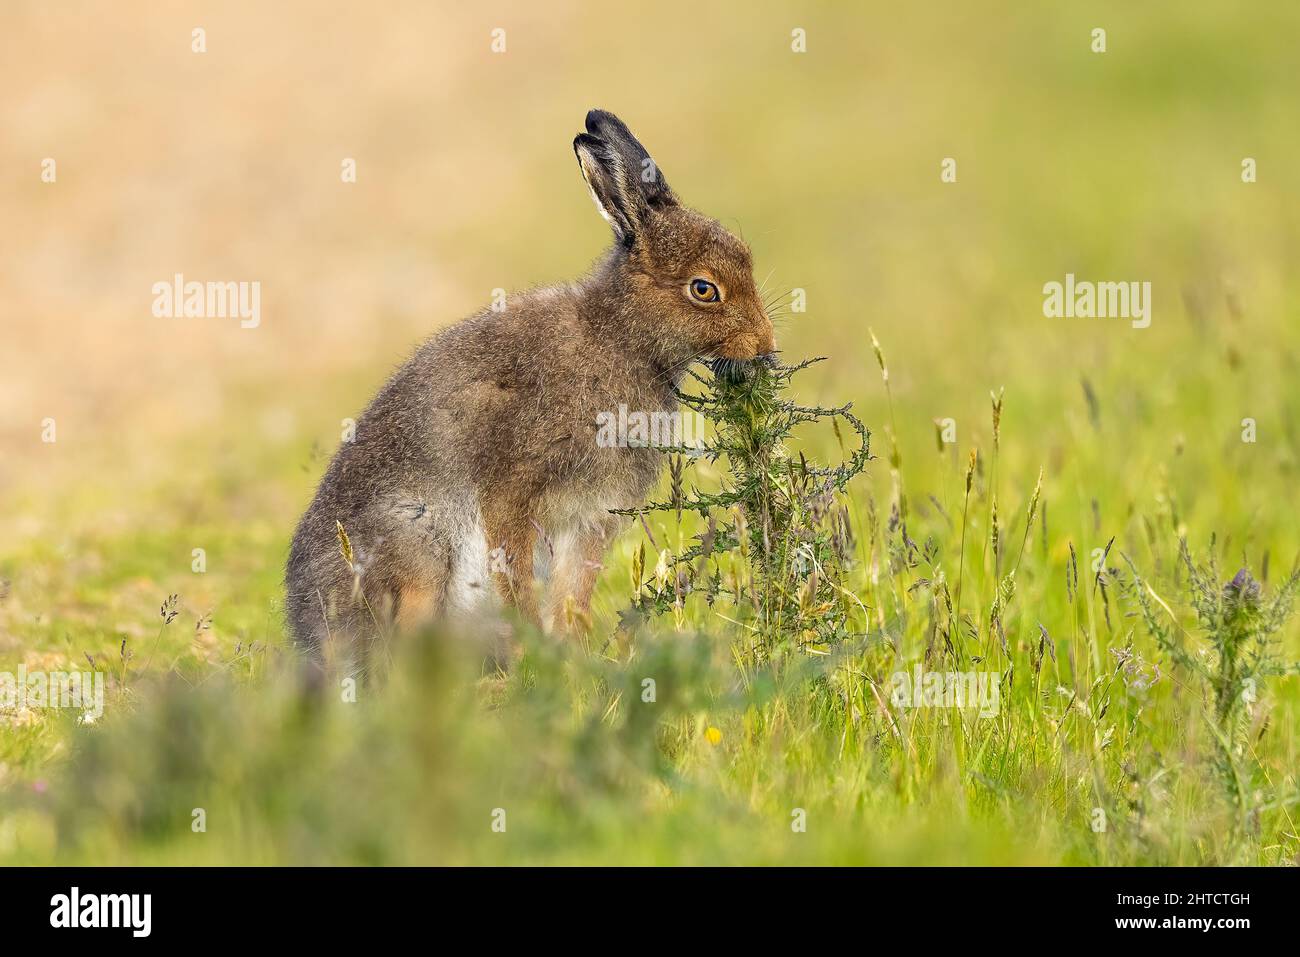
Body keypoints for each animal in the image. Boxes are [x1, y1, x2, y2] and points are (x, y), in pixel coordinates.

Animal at [285, 109, 776, 668]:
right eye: (703, 289)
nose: (765, 345)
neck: (621, 336)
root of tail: (312, 633)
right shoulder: (512, 493)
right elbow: (516, 581)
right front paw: (534, 657)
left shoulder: (590, 519)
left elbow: (572, 597)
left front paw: (570, 660)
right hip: (419, 547)